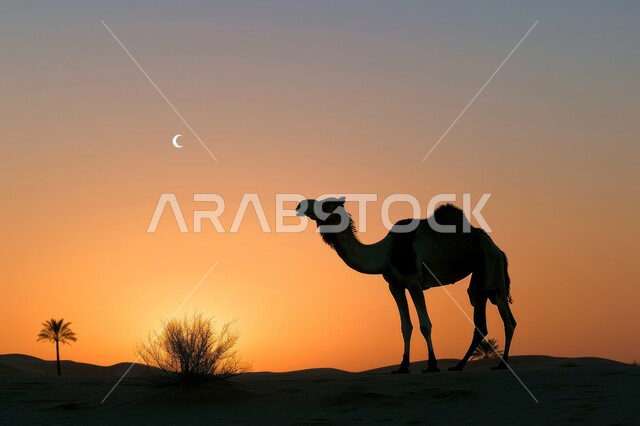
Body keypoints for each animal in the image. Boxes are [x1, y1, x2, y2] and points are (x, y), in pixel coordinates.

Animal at [296, 197, 516, 373]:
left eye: (326, 204)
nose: (300, 204)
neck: (384, 252)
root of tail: (498, 248)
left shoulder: (413, 281)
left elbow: (425, 324)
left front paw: (432, 365)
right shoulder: (395, 286)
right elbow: (405, 326)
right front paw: (402, 367)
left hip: (492, 266)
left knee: (507, 318)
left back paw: (502, 364)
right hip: (479, 276)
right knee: (480, 318)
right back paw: (458, 366)